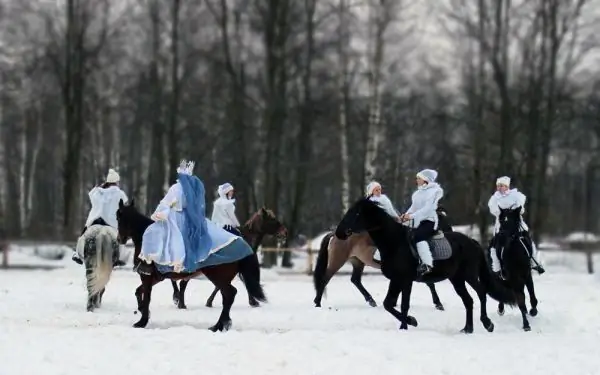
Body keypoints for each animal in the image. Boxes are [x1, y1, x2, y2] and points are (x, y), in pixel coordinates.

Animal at [116, 198, 266, 330]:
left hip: (218, 277)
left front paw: (142, 321)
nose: (120, 239)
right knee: (228, 295)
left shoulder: (146, 276)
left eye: (120, 217)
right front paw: (141, 311)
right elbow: (138, 292)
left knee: (229, 295)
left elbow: (146, 297)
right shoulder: (156, 277)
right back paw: (221, 323)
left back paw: (218, 325)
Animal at [312, 207, 452, 310]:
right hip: (338, 260)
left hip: (358, 261)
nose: (450, 232)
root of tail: (335, 234)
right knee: (325, 279)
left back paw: (371, 300)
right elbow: (430, 284)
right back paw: (317, 302)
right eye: (442, 220)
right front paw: (438, 304)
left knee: (355, 280)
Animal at [336, 198, 516, 334]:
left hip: (469, 275)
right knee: (468, 300)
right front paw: (406, 325)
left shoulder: (403, 279)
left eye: (356, 213)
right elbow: (394, 304)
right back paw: (467, 329)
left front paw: (410, 322)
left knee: (481, 293)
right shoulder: (399, 280)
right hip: (456, 279)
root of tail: (472, 242)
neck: (395, 242)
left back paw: (487, 323)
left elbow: (398, 304)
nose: (339, 232)